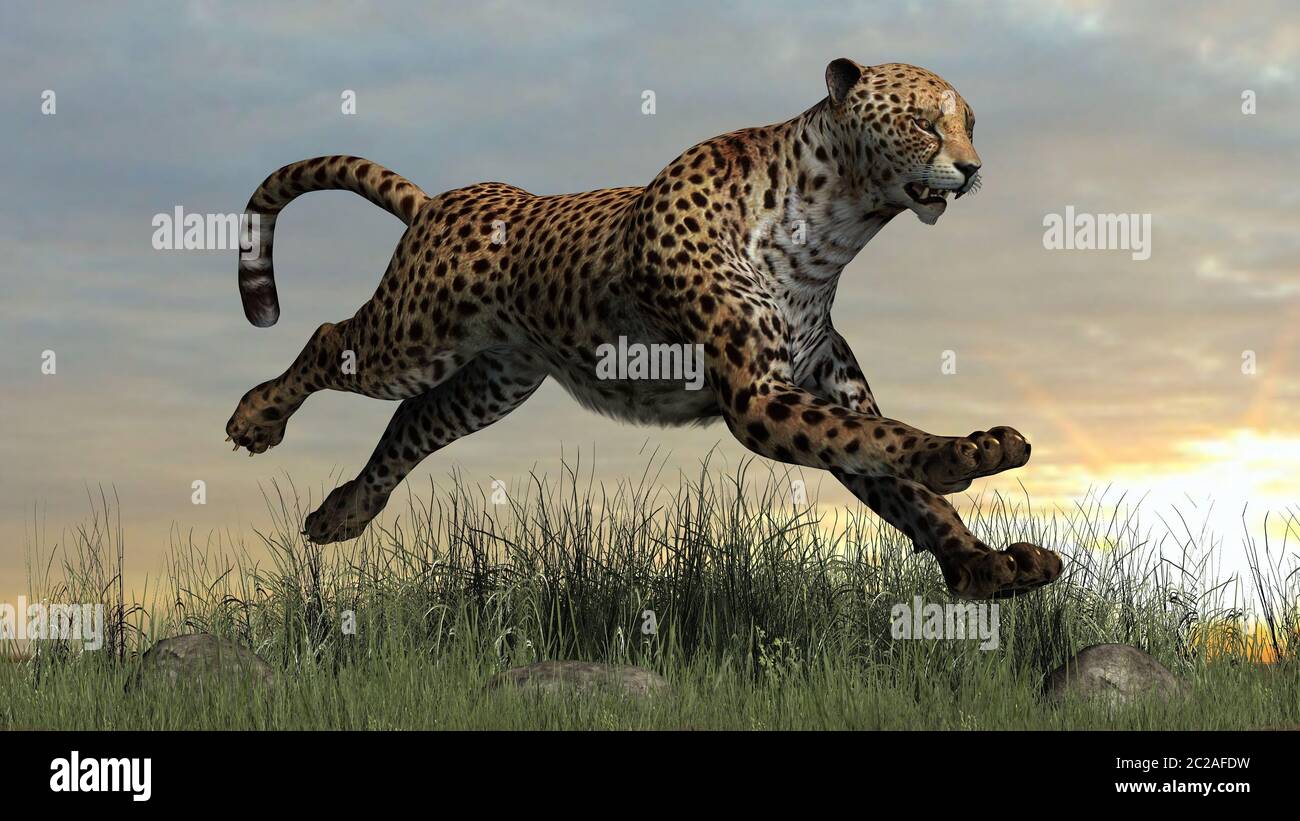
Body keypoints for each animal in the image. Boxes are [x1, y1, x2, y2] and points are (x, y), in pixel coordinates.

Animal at [227, 59, 1063, 600]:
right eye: (925, 121)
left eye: (970, 123)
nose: (974, 167)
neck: (837, 225)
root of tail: (443, 198)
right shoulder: (756, 399)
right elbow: (888, 442)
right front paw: (967, 453)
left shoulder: (824, 389)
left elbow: (896, 479)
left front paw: (986, 565)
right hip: (412, 336)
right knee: (329, 339)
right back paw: (256, 418)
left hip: (491, 383)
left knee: (411, 423)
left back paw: (342, 512)